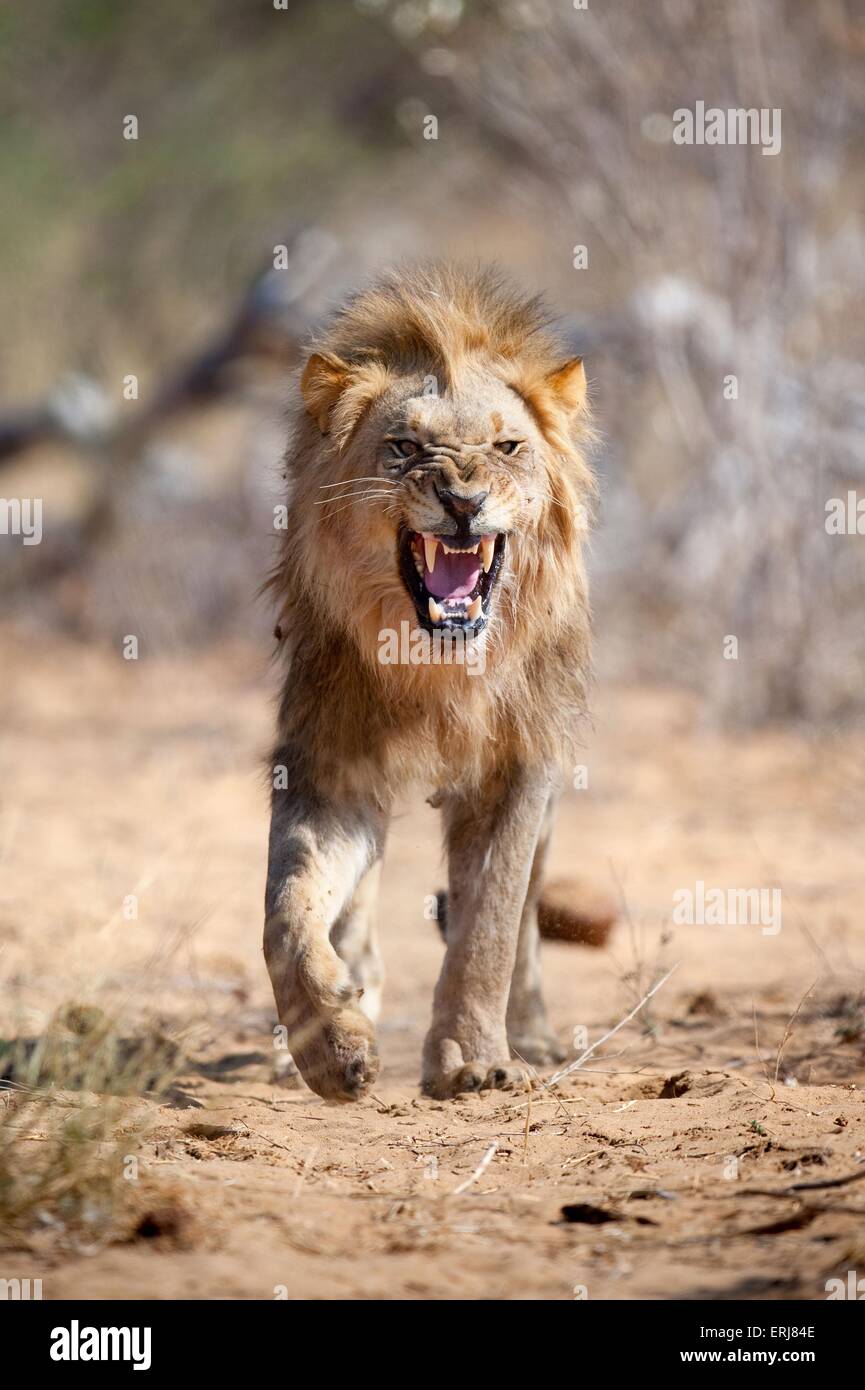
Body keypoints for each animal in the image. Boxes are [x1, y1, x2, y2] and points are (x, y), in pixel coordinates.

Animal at [263, 263, 596, 1101]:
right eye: (405, 446)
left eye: (507, 446)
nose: (463, 501)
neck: (435, 671)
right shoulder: (329, 762)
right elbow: (286, 906)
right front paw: (332, 1044)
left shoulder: (521, 762)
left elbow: (492, 921)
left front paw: (472, 1059)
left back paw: (531, 1033)